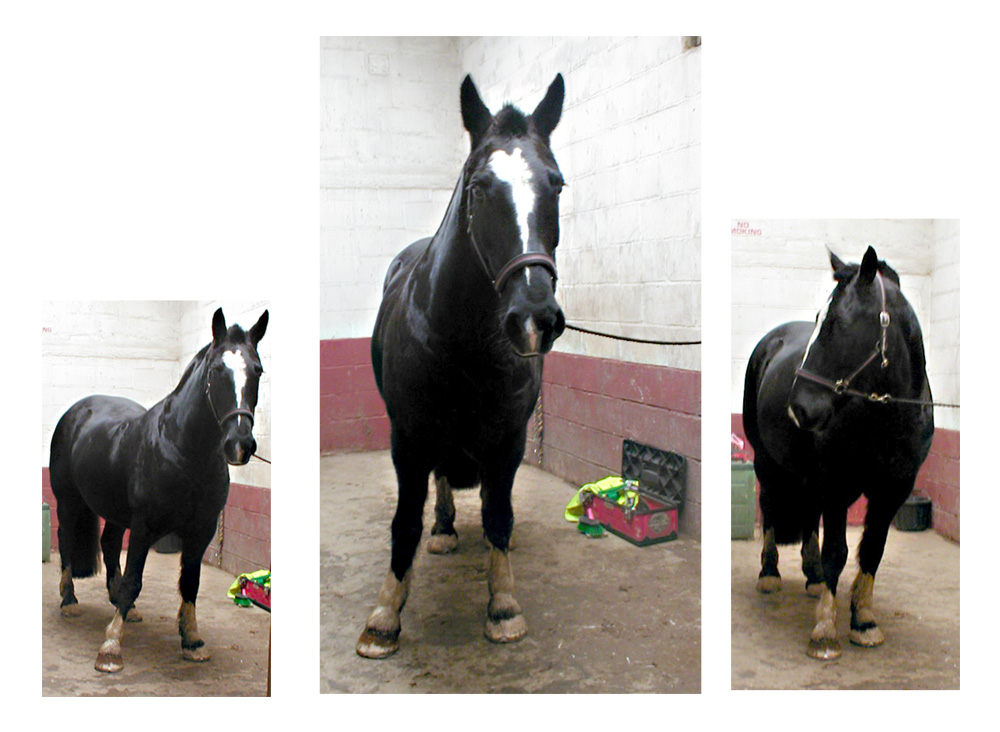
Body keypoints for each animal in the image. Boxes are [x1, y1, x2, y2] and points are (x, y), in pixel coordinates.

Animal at [49, 307, 268, 673]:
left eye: (257, 369)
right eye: (216, 370)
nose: (240, 444)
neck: (182, 450)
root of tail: (76, 412)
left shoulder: (202, 530)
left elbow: (190, 584)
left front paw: (192, 640)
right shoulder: (144, 527)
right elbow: (134, 580)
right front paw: (111, 647)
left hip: (114, 510)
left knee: (109, 544)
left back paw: (122, 605)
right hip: (68, 501)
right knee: (66, 541)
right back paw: (69, 600)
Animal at [356, 74, 567, 659]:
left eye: (557, 185)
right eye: (479, 188)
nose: (535, 317)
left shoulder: (509, 438)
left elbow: (499, 514)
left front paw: (503, 605)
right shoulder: (408, 438)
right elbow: (405, 520)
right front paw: (385, 614)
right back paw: (444, 530)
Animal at [742, 246, 934, 660]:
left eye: (836, 323)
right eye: (818, 320)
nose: (798, 409)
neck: (884, 412)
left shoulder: (891, 491)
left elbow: (871, 552)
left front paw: (864, 621)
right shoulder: (836, 486)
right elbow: (837, 552)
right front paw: (825, 631)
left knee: (808, 514)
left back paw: (813, 577)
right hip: (766, 462)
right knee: (769, 507)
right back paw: (770, 575)